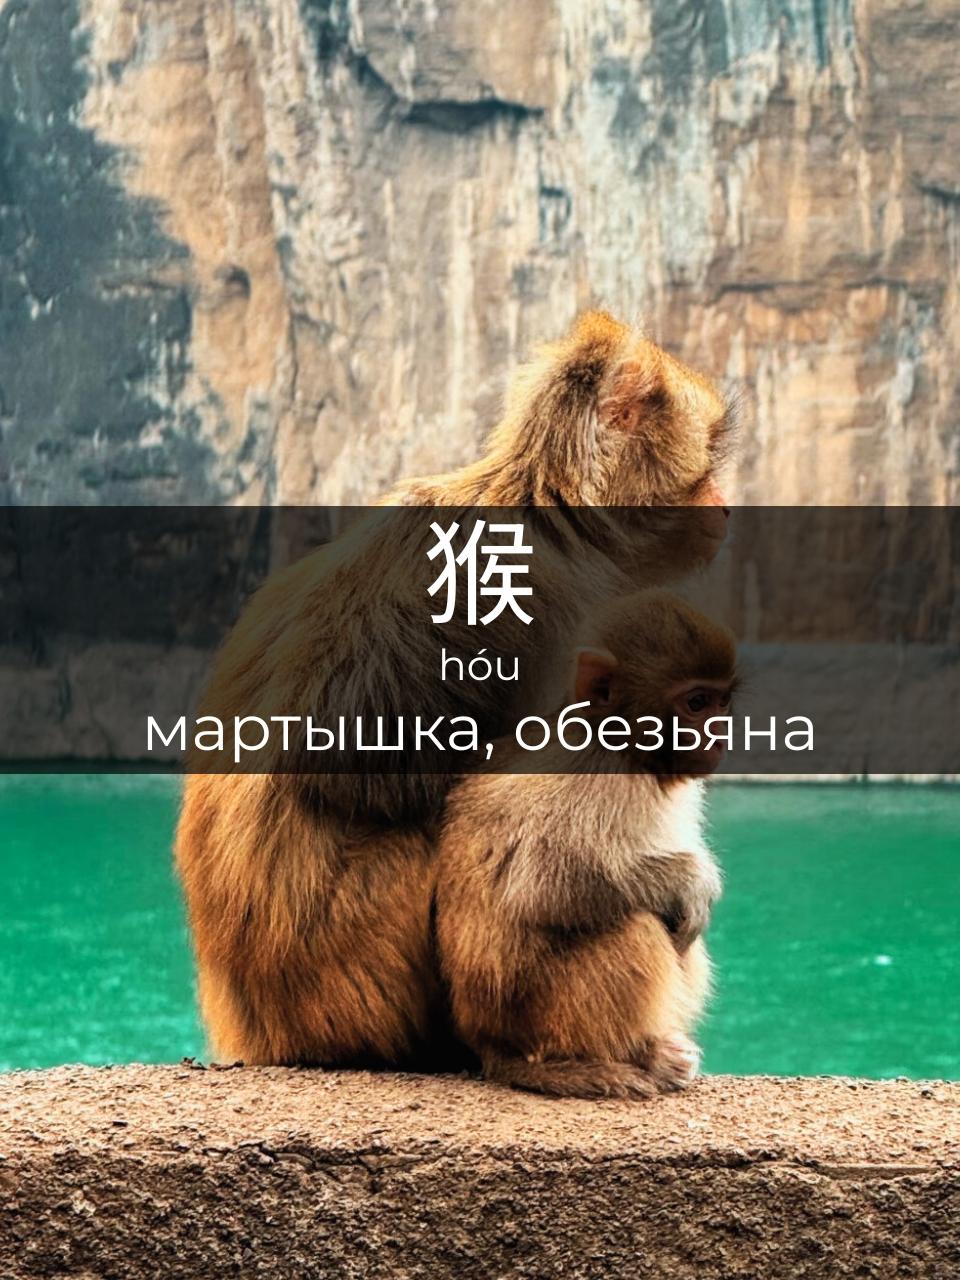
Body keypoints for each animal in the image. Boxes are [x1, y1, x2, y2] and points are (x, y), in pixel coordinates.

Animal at [433, 589, 737, 1099]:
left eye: (722, 701)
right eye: (697, 702)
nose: (720, 734)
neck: (620, 741)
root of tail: (489, 1043)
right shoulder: (595, 772)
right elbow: (546, 882)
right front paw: (695, 882)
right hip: (537, 1015)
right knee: (634, 922)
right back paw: (625, 1057)